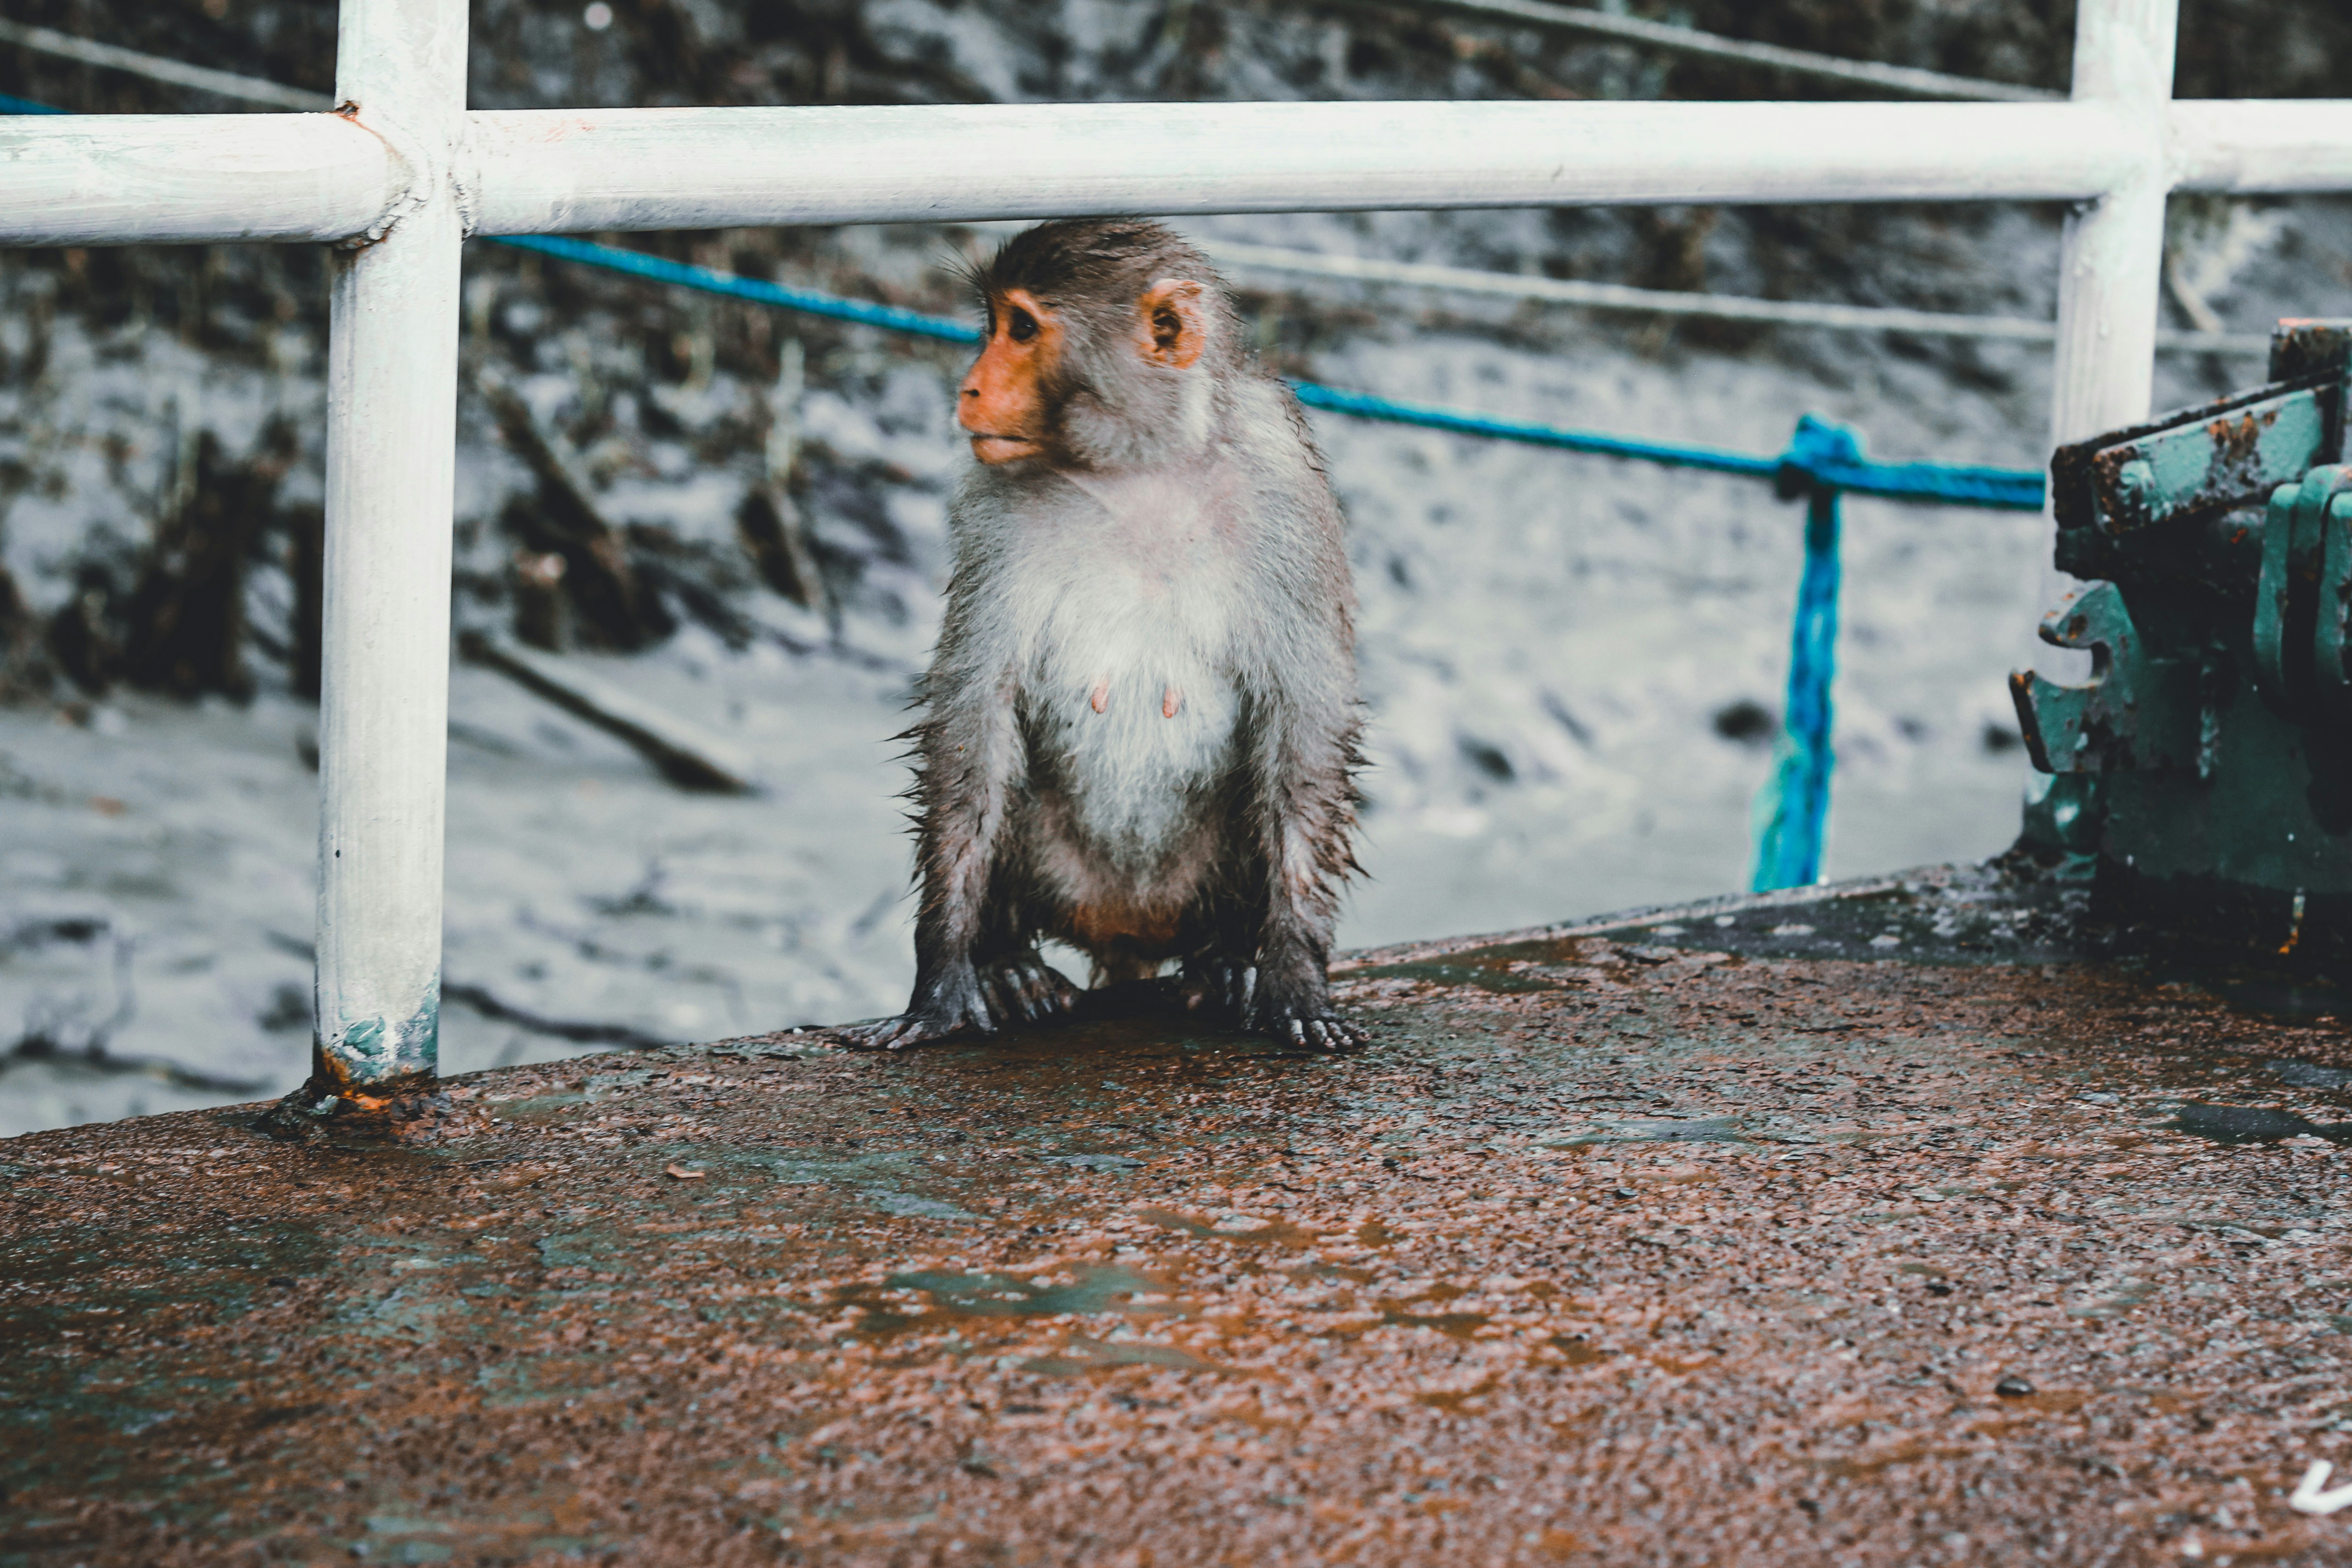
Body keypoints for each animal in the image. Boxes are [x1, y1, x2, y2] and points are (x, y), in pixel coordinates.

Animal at [843, 217, 1367, 1053]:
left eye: (1023, 328)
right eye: (996, 323)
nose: (970, 387)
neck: (1141, 469)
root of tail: (1127, 931)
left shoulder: (1286, 492)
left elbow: (1304, 721)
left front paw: (1294, 973)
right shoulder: (994, 510)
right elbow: (974, 716)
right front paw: (946, 973)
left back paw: (1226, 958)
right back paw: (1008, 963)